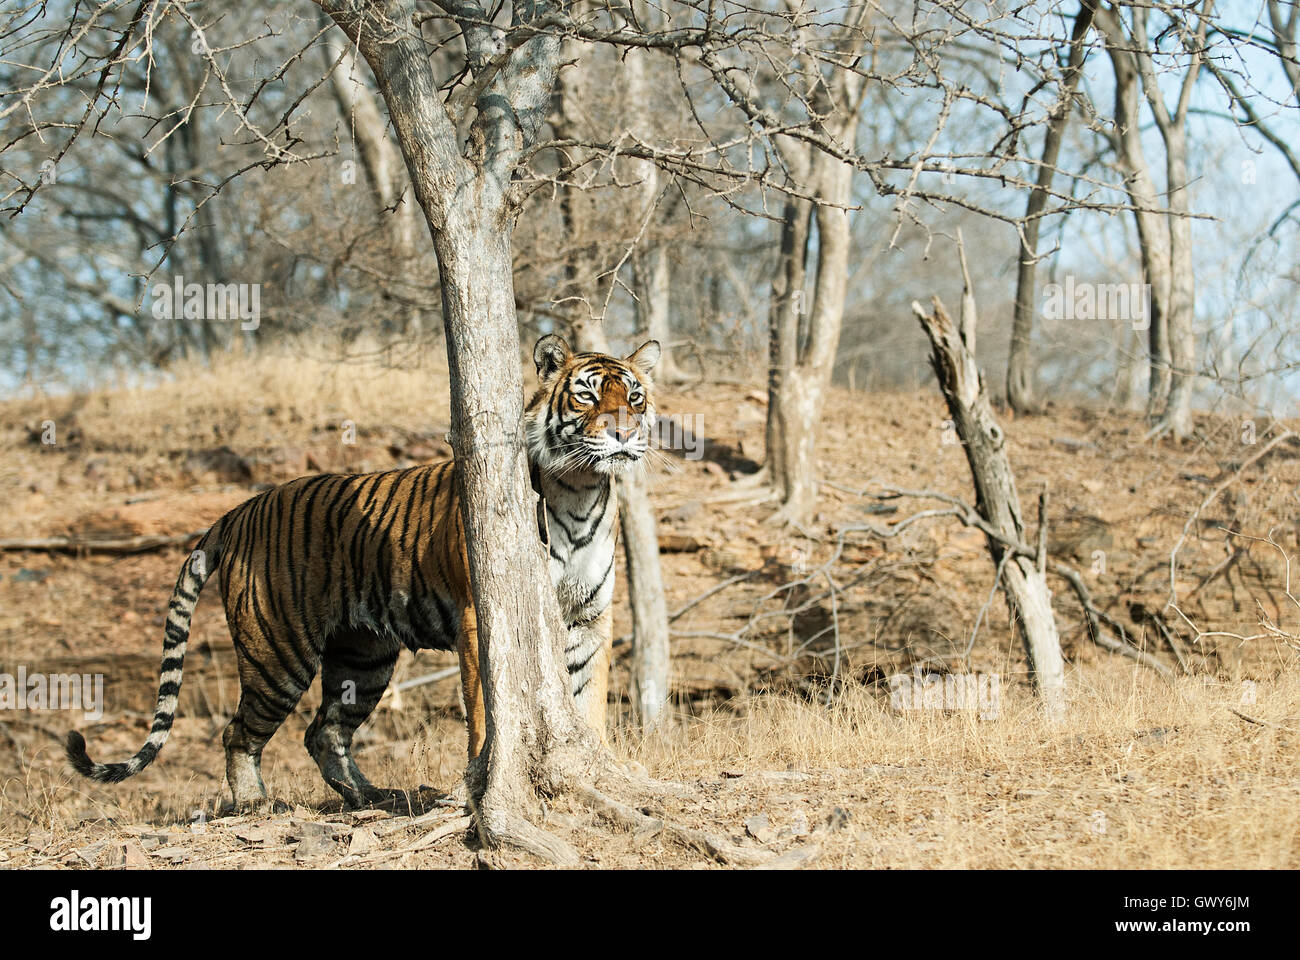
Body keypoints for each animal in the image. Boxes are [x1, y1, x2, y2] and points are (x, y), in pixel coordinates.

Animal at [66, 334, 660, 810]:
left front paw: (599, 761)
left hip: (363, 657)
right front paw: (477, 782)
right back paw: (255, 804)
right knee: (239, 733)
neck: (580, 489)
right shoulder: (481, 615)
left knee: (322, 731)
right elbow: (486, 708)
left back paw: (371, 797)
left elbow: (587, 696)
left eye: (634, 396)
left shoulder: (588, 615)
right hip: (277, 653)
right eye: (586, 395)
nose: (625, 434)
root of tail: (241, 510)